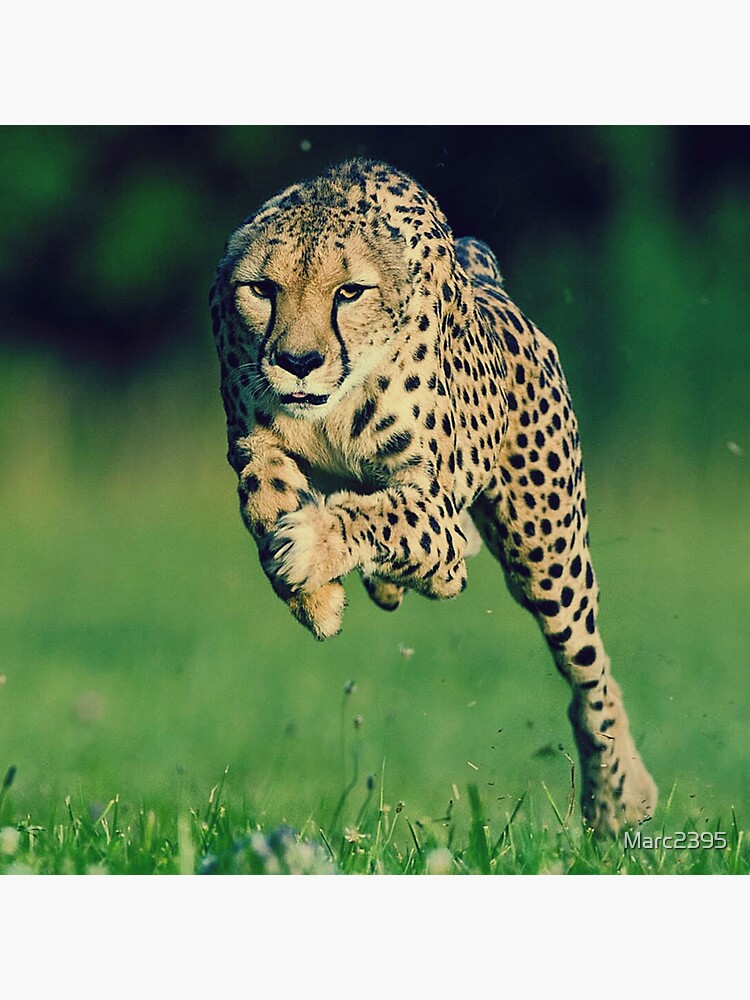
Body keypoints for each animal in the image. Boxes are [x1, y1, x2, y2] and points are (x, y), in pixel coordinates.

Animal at [209, 158, 658, 836]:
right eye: (262, 289)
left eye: (349, 292)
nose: (297, 361)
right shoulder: (252, 440)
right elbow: (264, 493)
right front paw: (315, 597)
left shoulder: (431, 501)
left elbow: (385, 515)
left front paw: (311, 548)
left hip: (546, 555)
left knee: (590, 672)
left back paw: (617, 796)